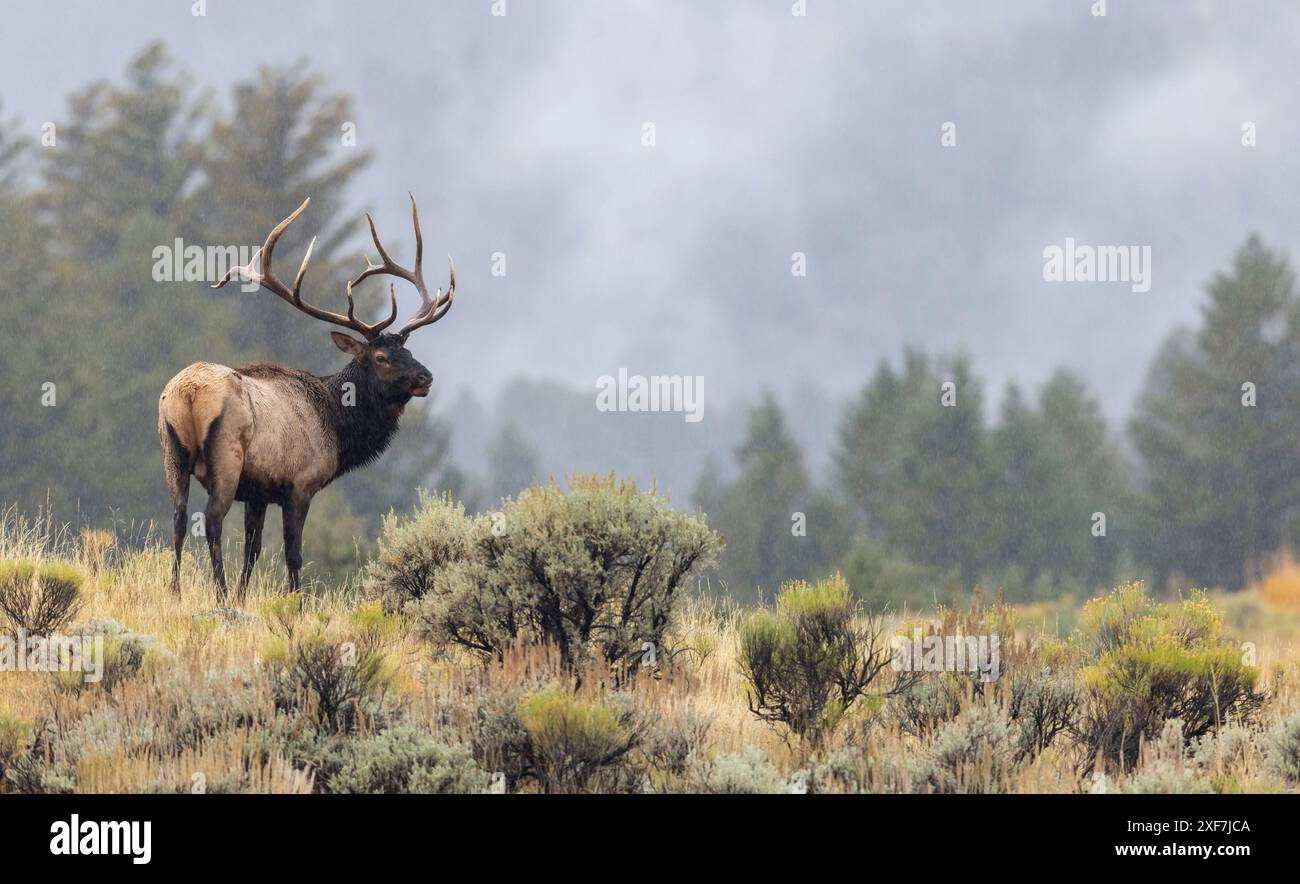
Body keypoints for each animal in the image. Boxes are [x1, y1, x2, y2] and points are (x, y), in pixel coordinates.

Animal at [158, 194, 455, 598]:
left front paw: (245, 596)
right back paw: (220, 595)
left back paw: (175, 590)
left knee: (178, 517)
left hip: (172, 452)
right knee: (212, 520)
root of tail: (187, 392)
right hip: (227, 456)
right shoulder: (299, 485)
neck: (337, 429)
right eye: (380, 357)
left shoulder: (258, 491)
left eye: (407, 350)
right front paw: (293, 603)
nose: (426, 377)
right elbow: (293, 554)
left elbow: (253, 549)